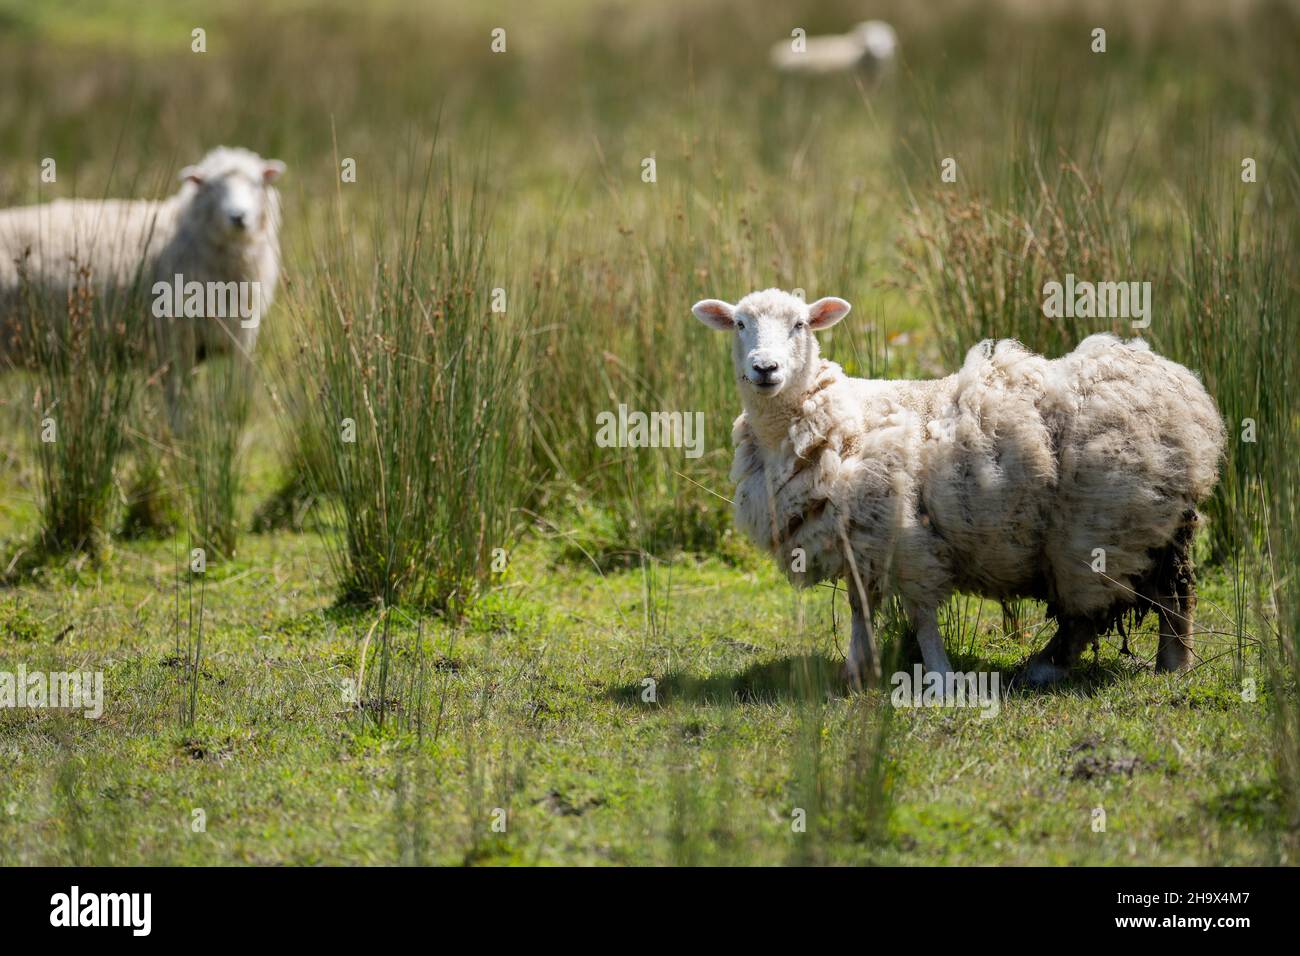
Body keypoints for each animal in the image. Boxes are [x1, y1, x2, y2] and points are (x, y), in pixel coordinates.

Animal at [692, 289, 1226, 689]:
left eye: (801, 324)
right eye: (739, 323)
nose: (765, 369)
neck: (837, 418)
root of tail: (1185, 392)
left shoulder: (908, 539)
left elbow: (922, 616)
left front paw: (941, 678)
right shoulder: (860, 542)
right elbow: (860, 608)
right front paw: (858, 673)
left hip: (1099, 524)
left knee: (1113, 605)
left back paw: (1061, 667)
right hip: (1145, 521)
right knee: (1163, 590)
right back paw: (1165, 662)